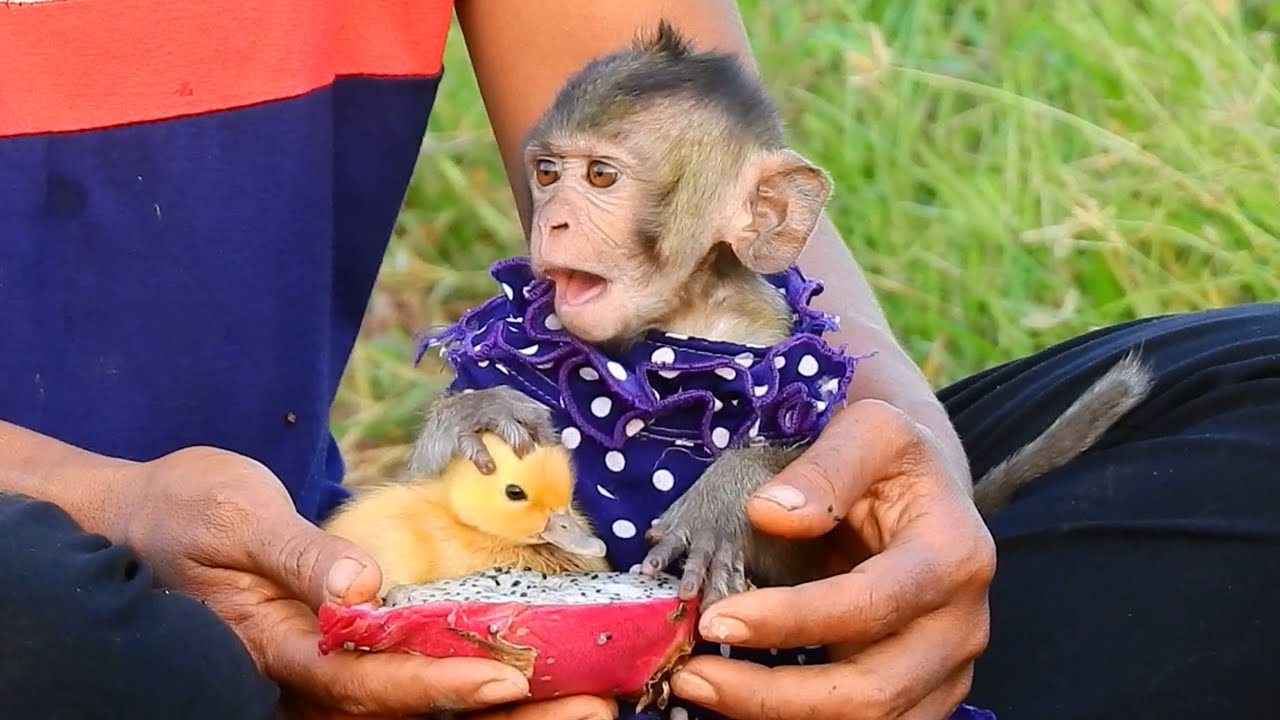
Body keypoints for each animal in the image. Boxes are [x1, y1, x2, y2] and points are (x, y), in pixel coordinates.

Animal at [406, 21, 1156, 611]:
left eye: (600, 177)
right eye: (547, 173)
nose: (553, 221)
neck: (672, 334)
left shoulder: (780, 345)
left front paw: (730, 491)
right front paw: (467, 417)